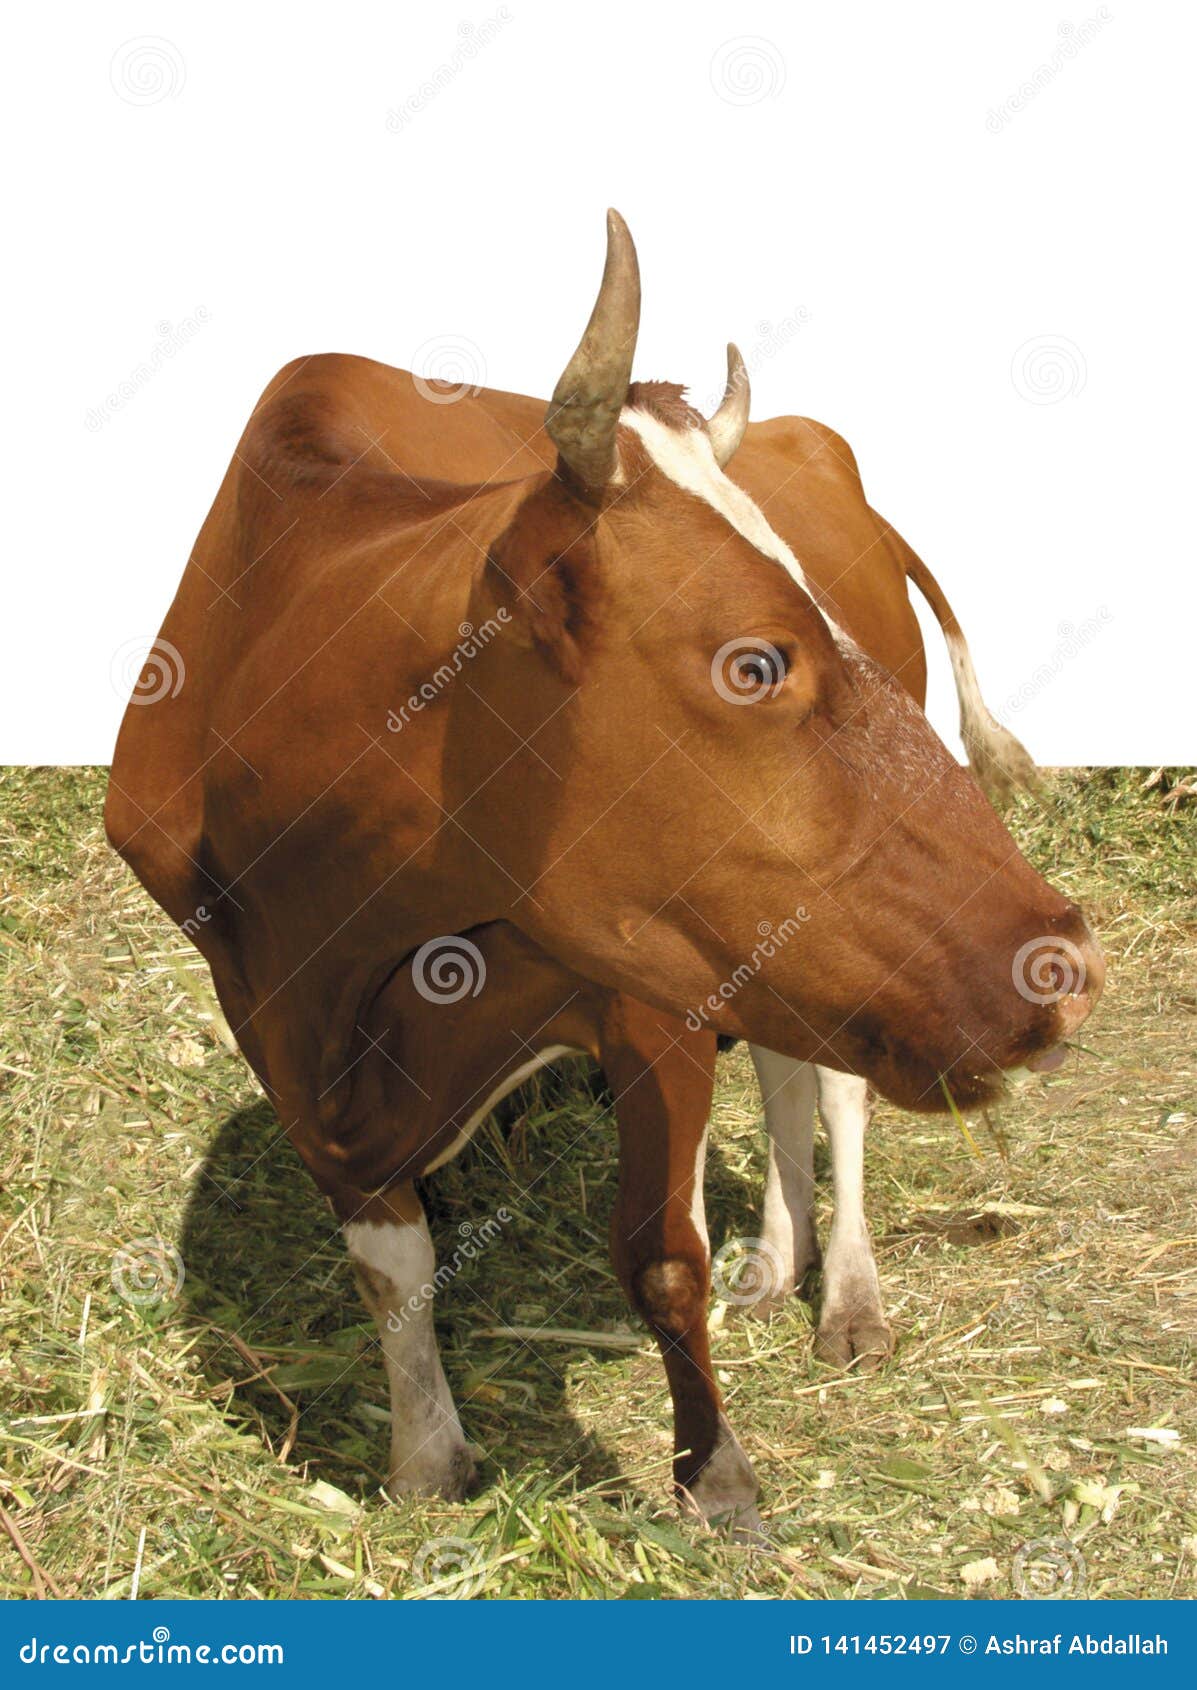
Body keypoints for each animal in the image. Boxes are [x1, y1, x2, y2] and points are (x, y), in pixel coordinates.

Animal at [106, 211, 1103, 1535]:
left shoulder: (649, 992)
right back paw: (778, 1258)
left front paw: (716, 1477)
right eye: (754, 663)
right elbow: (389, 1266)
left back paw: (844, 1288)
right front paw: (425, 1460)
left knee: (835, 1090)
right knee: (795, 1065)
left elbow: (660, 1252)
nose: (1071, 963)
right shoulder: (263, 1007)